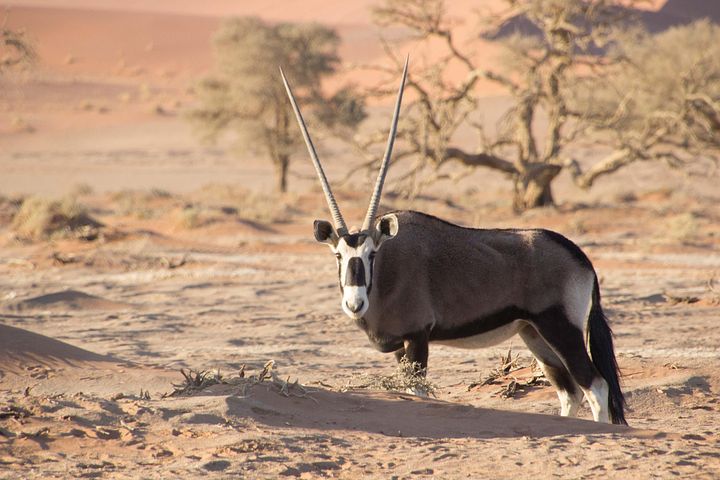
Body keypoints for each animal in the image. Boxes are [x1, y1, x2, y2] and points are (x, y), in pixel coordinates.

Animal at [279, 58, 627, 425]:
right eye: (338, 256)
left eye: (372, 254)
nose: (355, 303)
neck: (387, 273)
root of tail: (581, 258)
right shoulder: (400, 347)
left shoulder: (417, 337)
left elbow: (416, 392)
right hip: (534, 333)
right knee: (569, 391)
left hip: (561, 328)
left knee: (595, 385)